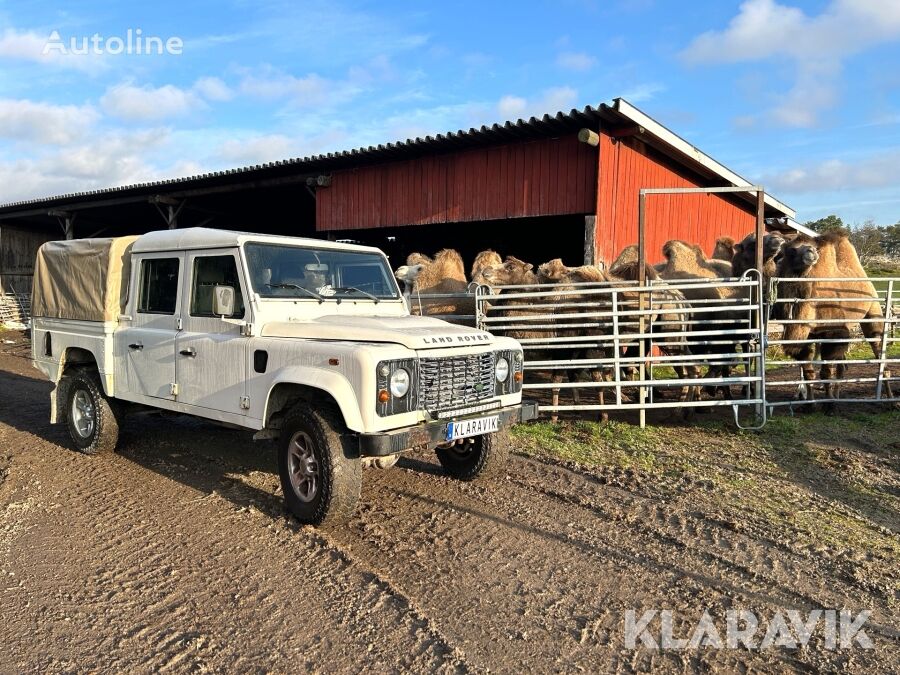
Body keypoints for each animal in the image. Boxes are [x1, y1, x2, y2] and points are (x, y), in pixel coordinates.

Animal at [772, 232, 892, 410]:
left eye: (814, 247)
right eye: (792, 250)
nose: (811, 252)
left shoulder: (832, 332)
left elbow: (826, 372)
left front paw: (828, 405)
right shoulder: (807, 336)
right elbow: (809, 372)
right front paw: (810, 405)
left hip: (872, 312)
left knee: (878, 354)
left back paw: (891, 399)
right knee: (842, 366)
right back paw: (838, 395)